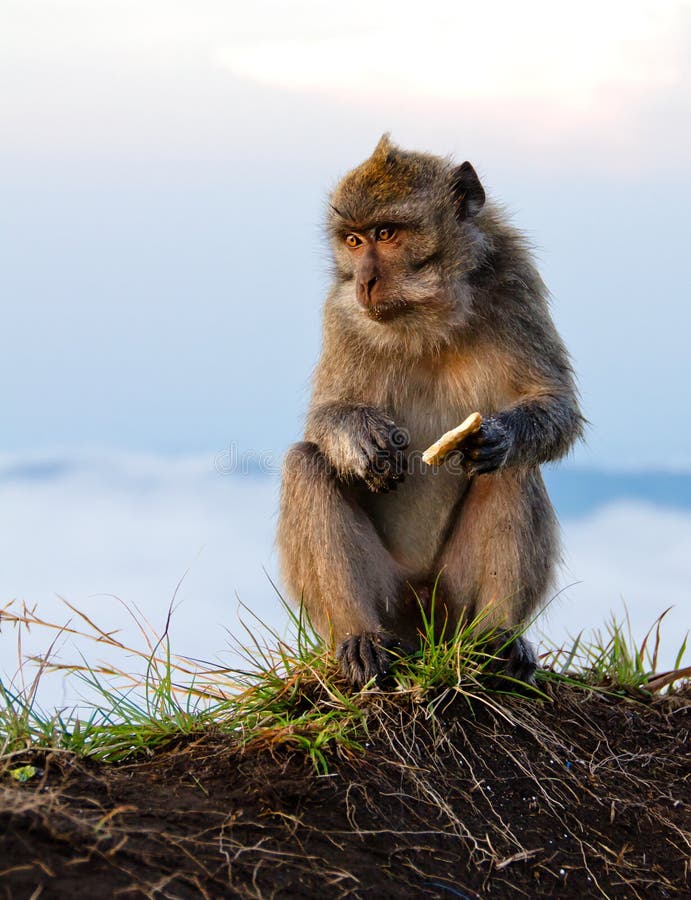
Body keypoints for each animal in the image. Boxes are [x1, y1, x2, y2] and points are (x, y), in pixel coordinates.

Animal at [277, 135, 584, 690]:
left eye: (386, 233)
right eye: (352, 241)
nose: (365, 282)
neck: (426, 314)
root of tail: (424, 627)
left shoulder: (515, 282)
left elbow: (555, 405)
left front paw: (501, 435)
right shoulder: (341, 312)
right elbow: (325, 416)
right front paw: (360, 439)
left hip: (451, 601)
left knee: (512, 470)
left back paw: (495, 643)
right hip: (391, 599)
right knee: (306, 463)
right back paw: (362, 641)